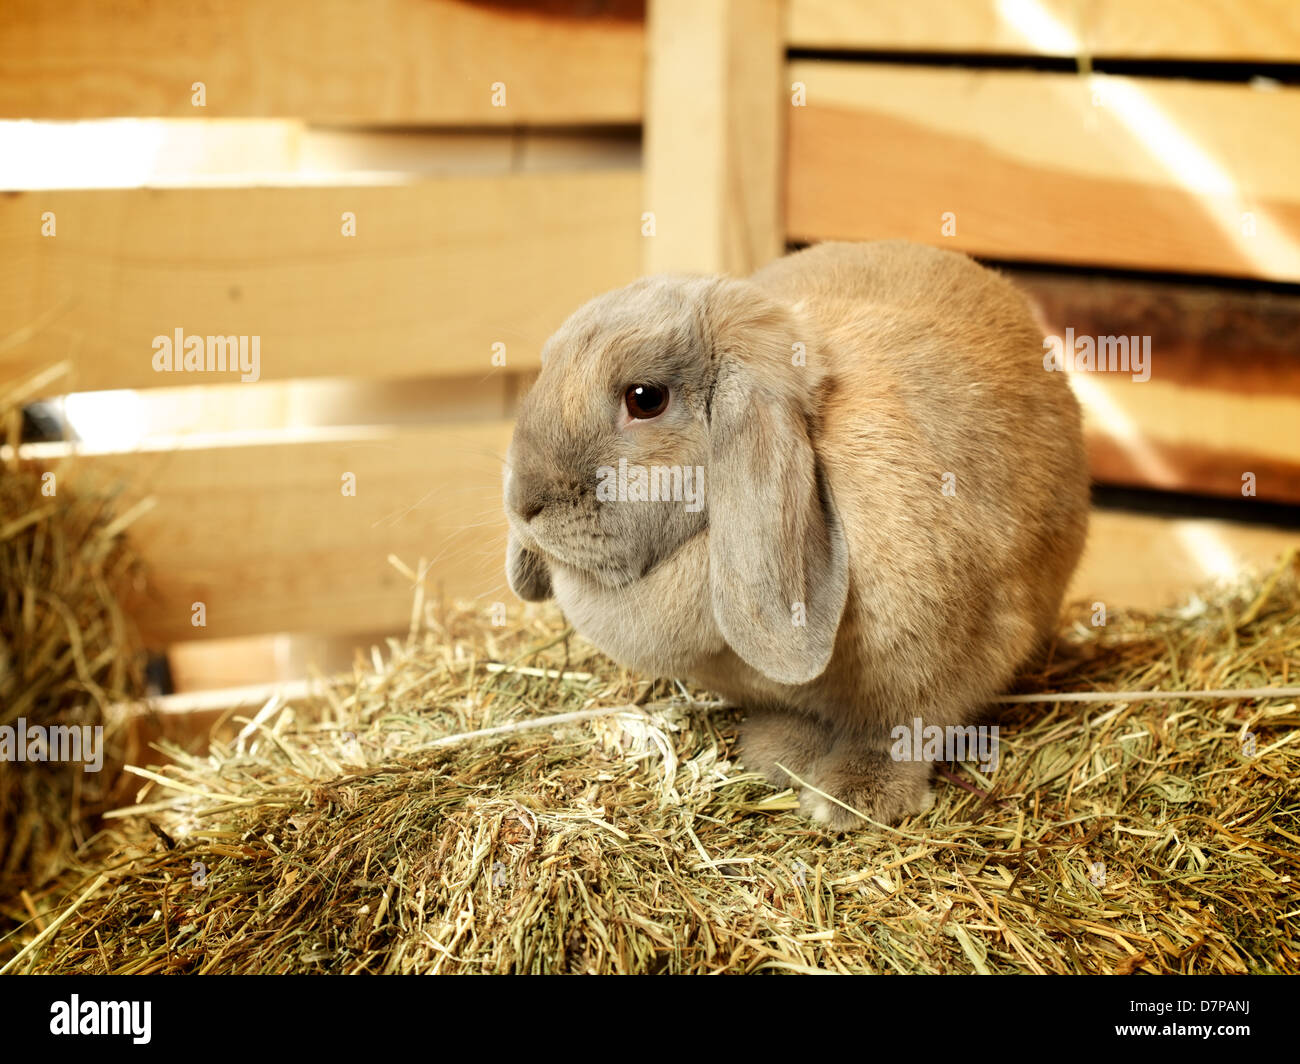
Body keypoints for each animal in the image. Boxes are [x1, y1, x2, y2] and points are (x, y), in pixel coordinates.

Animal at [504, 240, 1089, 829]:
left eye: (645, 398)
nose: (524, 505)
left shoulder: (941, 663)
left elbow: (901, 731)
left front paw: (852, 799)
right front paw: (777, 756)